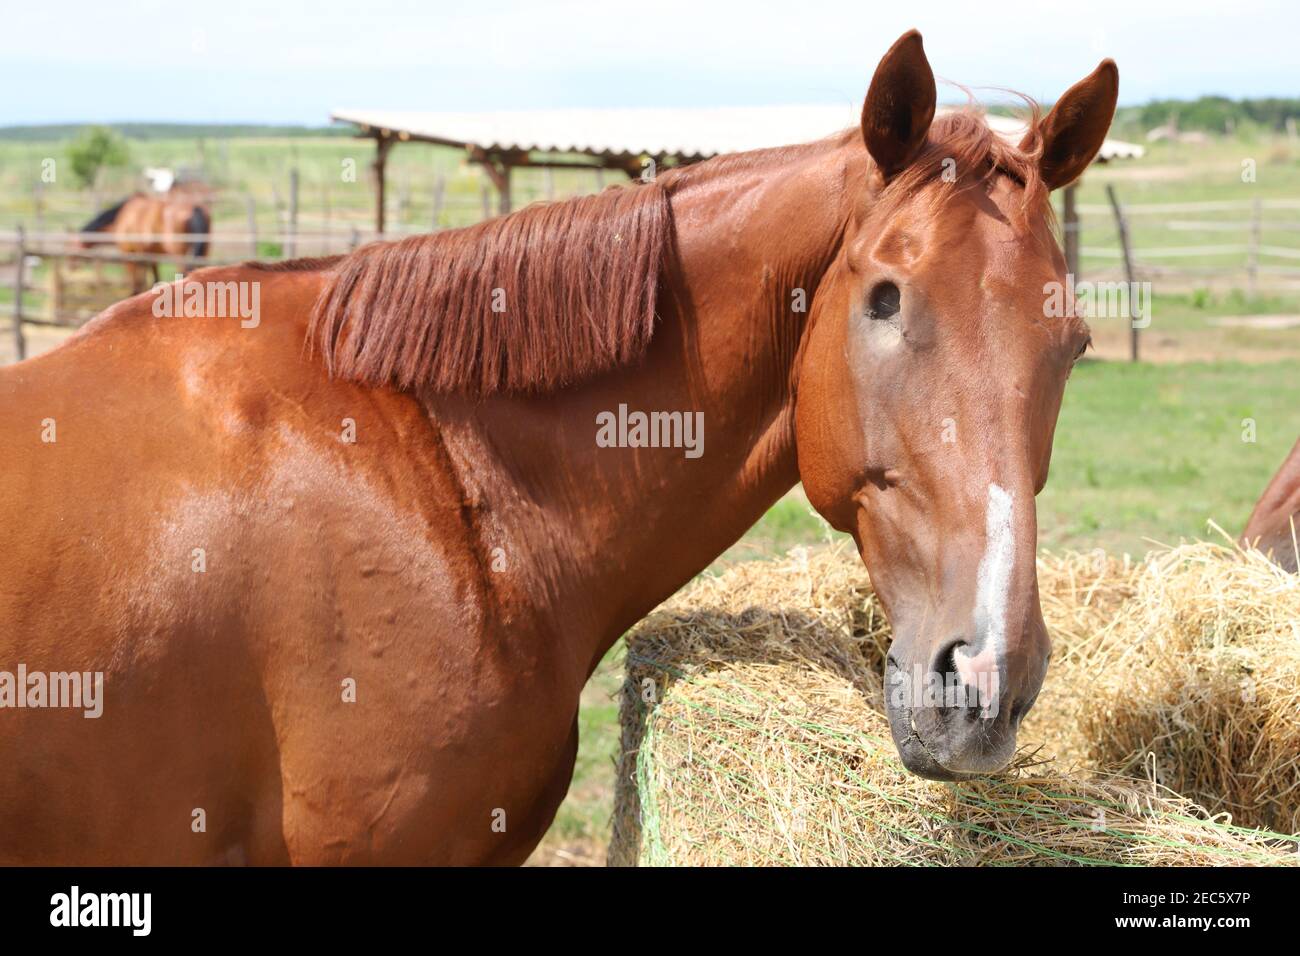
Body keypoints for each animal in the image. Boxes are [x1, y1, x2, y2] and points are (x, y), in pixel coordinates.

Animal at [75, 188, 212, 295]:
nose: (73, 266)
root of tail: (195, 207)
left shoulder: (129, 253)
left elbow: (137, 280)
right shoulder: (150, 254)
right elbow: (154, 277)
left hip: (179, 254)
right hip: (204, 251)